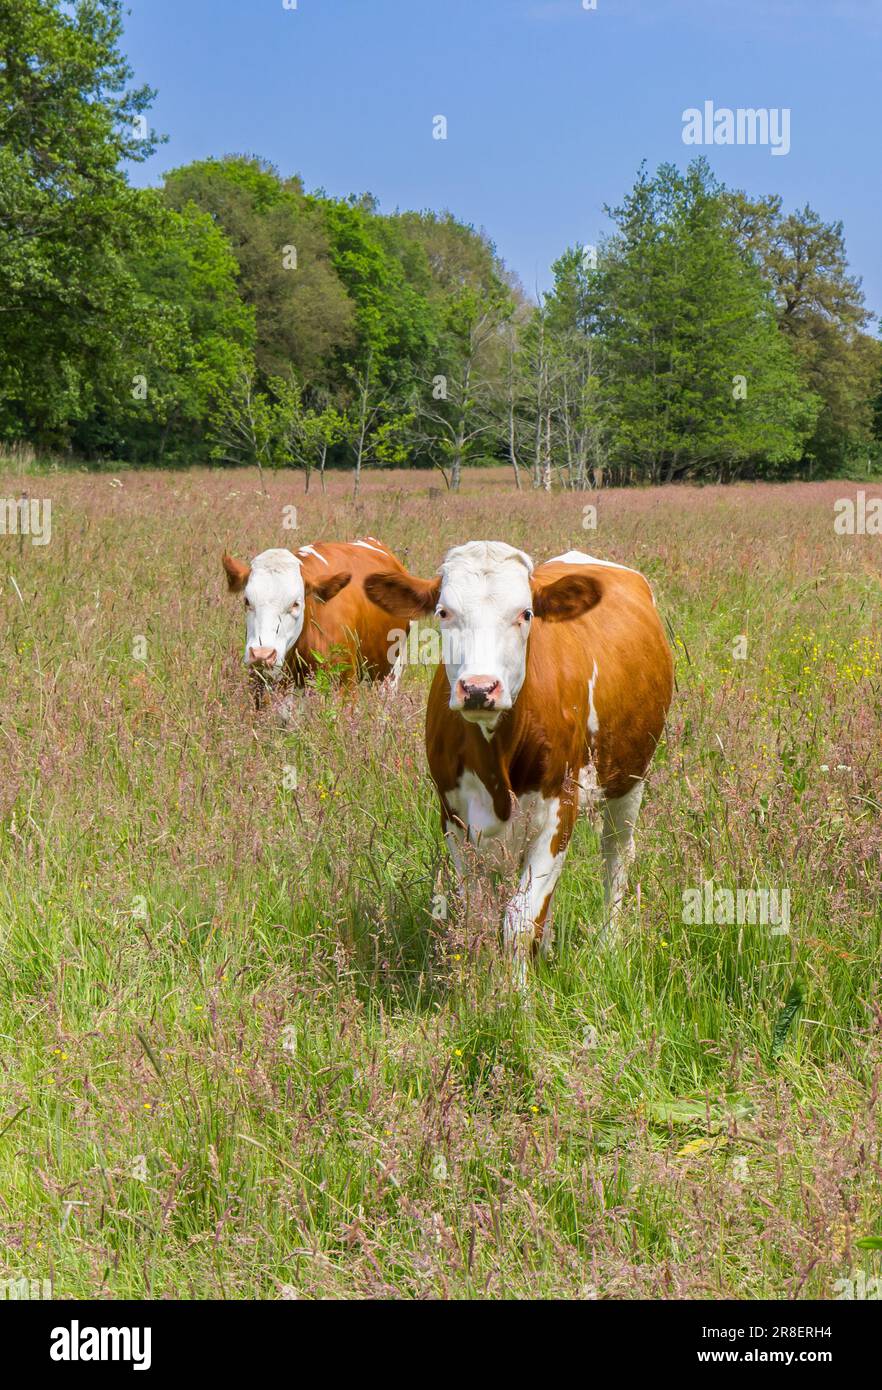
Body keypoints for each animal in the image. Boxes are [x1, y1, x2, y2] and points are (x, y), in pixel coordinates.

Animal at [364, 543, 673, 979]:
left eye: (525, 613)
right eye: (444, 612)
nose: (479, 689)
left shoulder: (559, 811)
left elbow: (520, 921)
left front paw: (517, 993)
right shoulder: (453, 818)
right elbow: (478, 913)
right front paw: (480, 983)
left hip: (631, 777)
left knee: (616, 856)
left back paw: (608, 944)